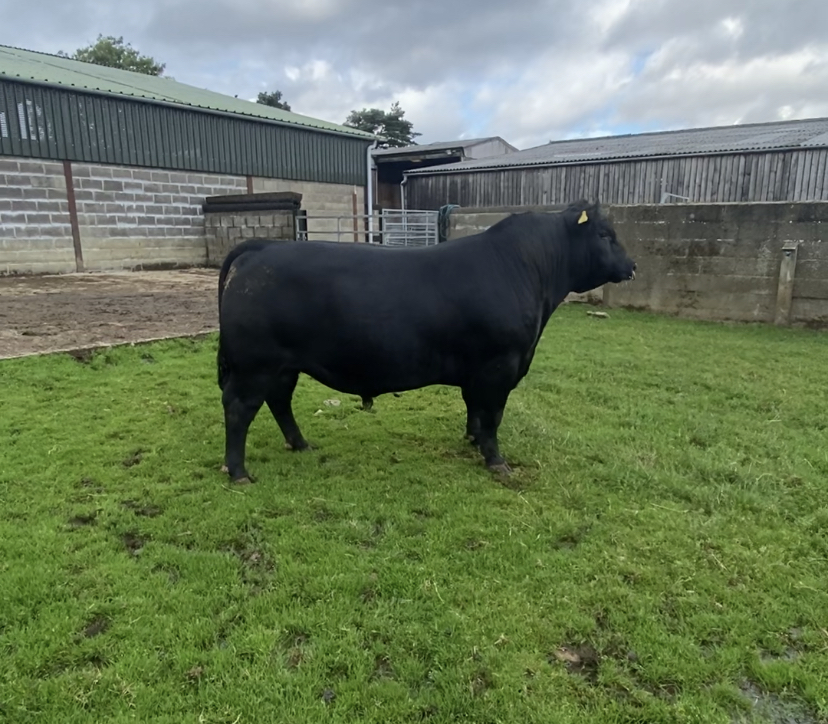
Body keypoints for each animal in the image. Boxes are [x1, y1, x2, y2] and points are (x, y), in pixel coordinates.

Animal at [215, 200, 636, 484]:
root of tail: (265, 247)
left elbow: (476, 410)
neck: (525, 269)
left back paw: (300, 444)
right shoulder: (500, 365)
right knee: (239, 409)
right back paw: (238, 472)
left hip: (283, 366)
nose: (632, 265)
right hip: (255, 365)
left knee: (279, 401)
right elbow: (493, 414)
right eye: (605, 235)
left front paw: (473, 441)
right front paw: (496, 461)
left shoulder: (477, 370)